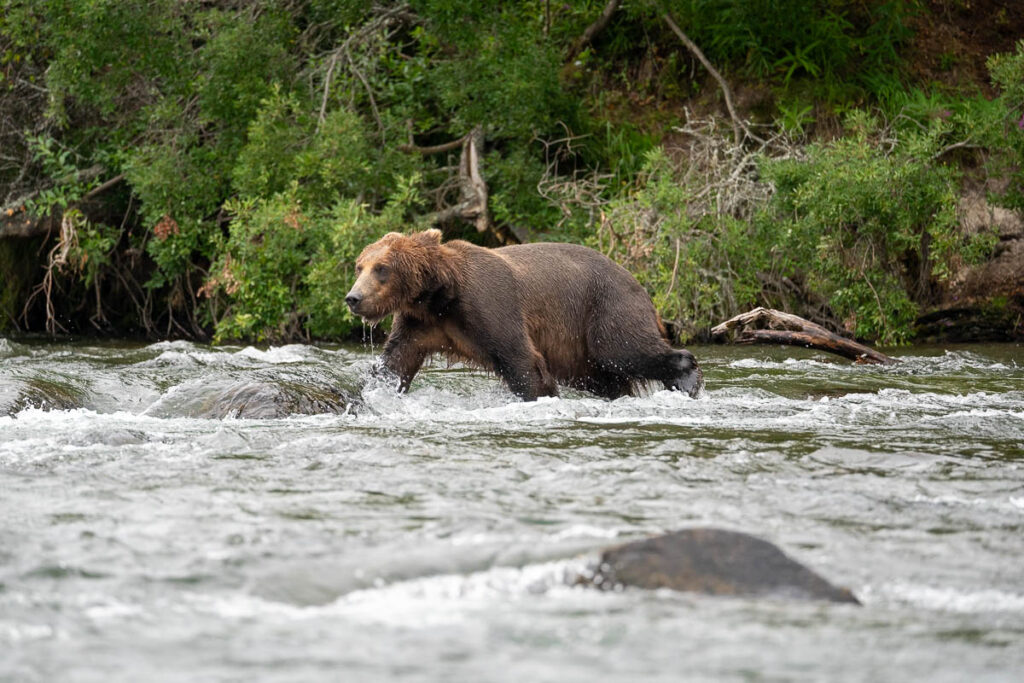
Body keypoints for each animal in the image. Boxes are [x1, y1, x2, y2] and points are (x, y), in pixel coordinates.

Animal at [344, 229, 703, 401]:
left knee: (622, 349)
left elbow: (521, 359)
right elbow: (395, 363)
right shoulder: (421, 324)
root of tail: (637, 280)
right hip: (577, 347)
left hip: (606, 306)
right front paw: (375, 387)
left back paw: (686, 378)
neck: (439, 295)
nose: (353, 298)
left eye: (382, 268)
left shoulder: (488, 304)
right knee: (603, 375)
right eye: (359, 266)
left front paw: (540, 395)